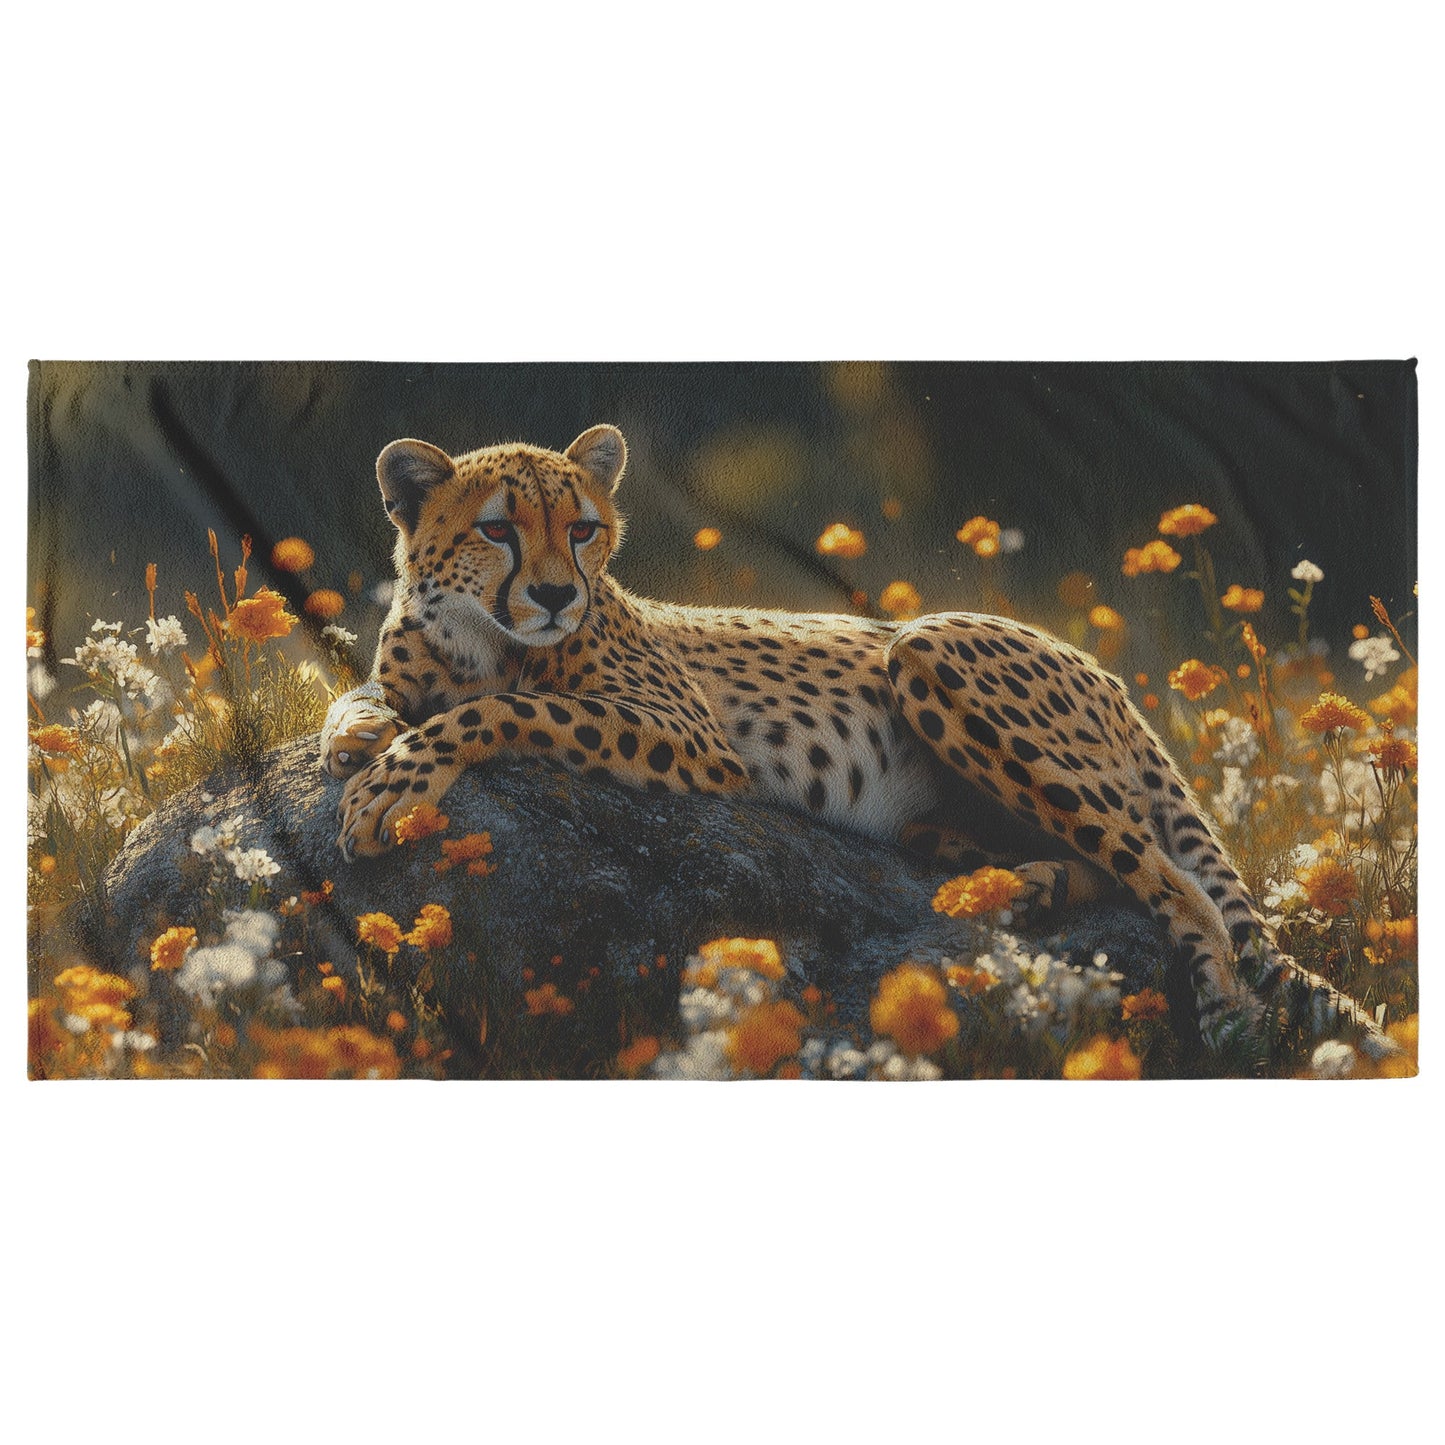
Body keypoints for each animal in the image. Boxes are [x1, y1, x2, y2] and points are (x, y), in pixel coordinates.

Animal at [321, 423, 1394, 1065]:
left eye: (582, 529)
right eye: (499, 530)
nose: (552, 595)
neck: (474, 637)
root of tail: (1105, 670)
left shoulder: (692, 740)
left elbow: (508, 712)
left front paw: (389, 786)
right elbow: (354, 695)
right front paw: (361, 731)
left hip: (928, 650)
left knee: (1169, 880)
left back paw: (1222, 1010)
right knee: (1106, 861)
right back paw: (1014, 887)